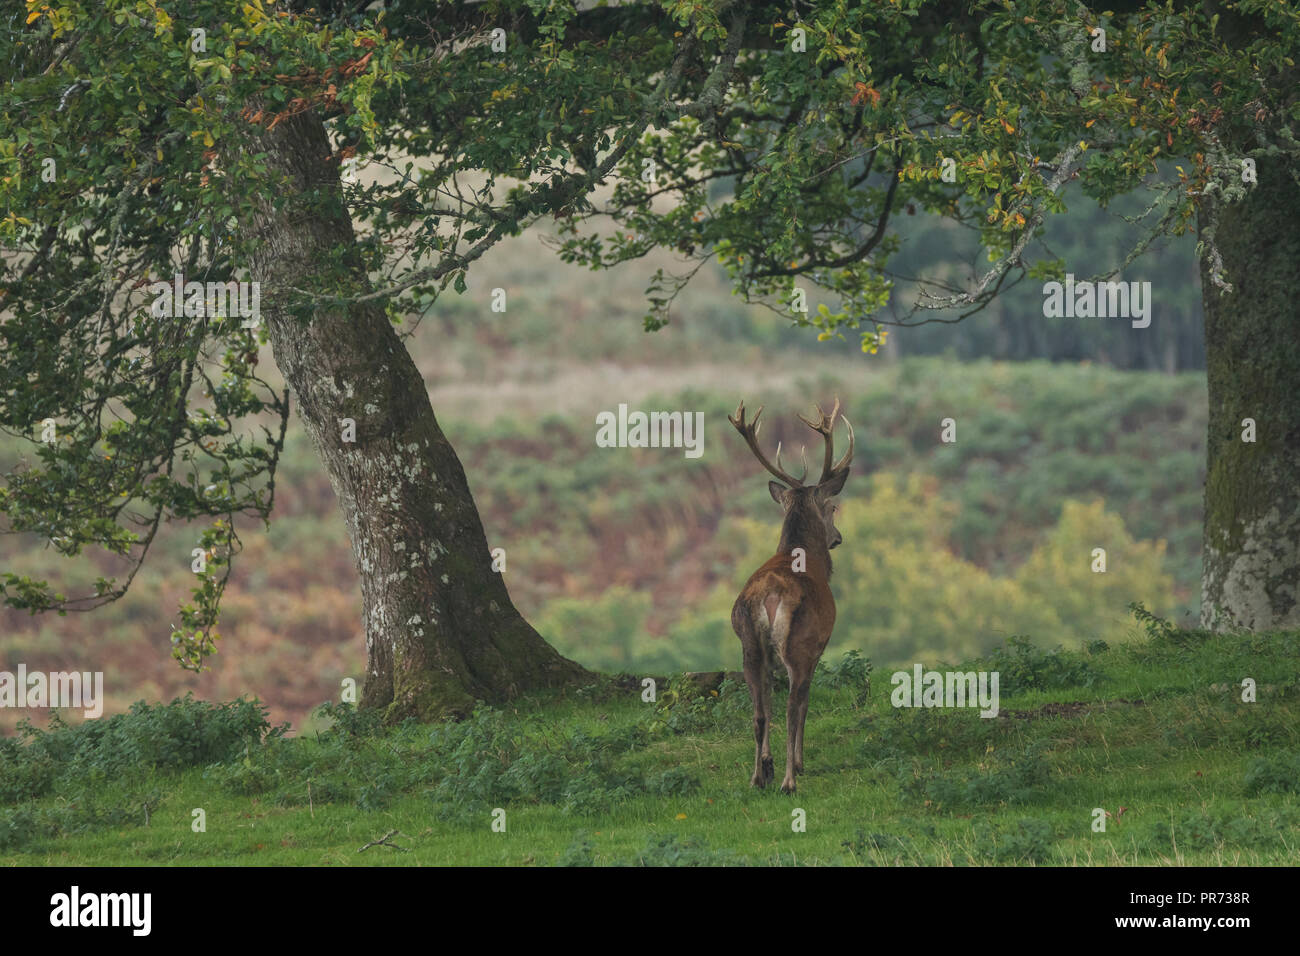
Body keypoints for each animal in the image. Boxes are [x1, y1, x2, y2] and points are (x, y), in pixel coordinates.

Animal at [727, 398, 853, 794]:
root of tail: (767, 596)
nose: (838, 537)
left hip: (749, 645)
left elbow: (766, 704)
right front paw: (798, 762)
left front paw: (767, 764)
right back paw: (788, 780)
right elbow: (806, 704)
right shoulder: (819, 646)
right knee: (790, 708)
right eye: (833, 507)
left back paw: (757, 777)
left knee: (758, 710)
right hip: (798, 643)